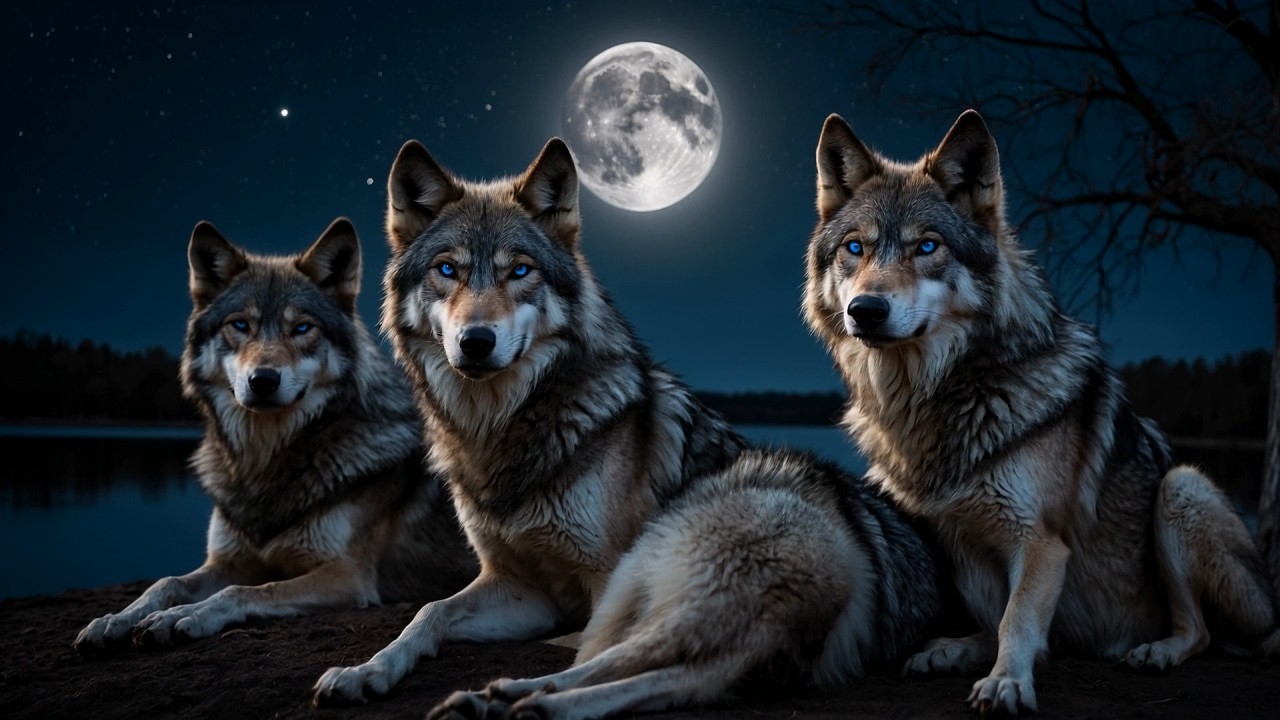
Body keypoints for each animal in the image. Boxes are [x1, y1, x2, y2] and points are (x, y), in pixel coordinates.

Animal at [73, 218, 476, 653]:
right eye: (240, 325)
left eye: (301, 328)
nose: (263, 380)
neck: (264, 462)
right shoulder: (228, 562)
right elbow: (165, 582)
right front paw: (114, 620)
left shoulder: (347, 575)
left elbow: (244, 592)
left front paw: (183, 617)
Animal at [310, 137, 946, 719]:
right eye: (448, 270)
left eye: (520, 271)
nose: (476, 342)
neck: (501, 430)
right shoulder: (522, 587)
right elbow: (428, 613)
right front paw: (366, 672)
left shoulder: (599, 582)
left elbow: (575, 643)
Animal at [802, 108, 1278, 715]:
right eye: (856, 248)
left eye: (928, 246)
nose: (866, 310)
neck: (944, 395)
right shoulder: (957, 534)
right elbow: (1000, 619)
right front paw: (975, 656)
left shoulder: (1040, 542)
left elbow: (1018, 619)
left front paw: (1007, 681)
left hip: (1181, 489)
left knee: (1201, 630)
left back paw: (1157, 652)